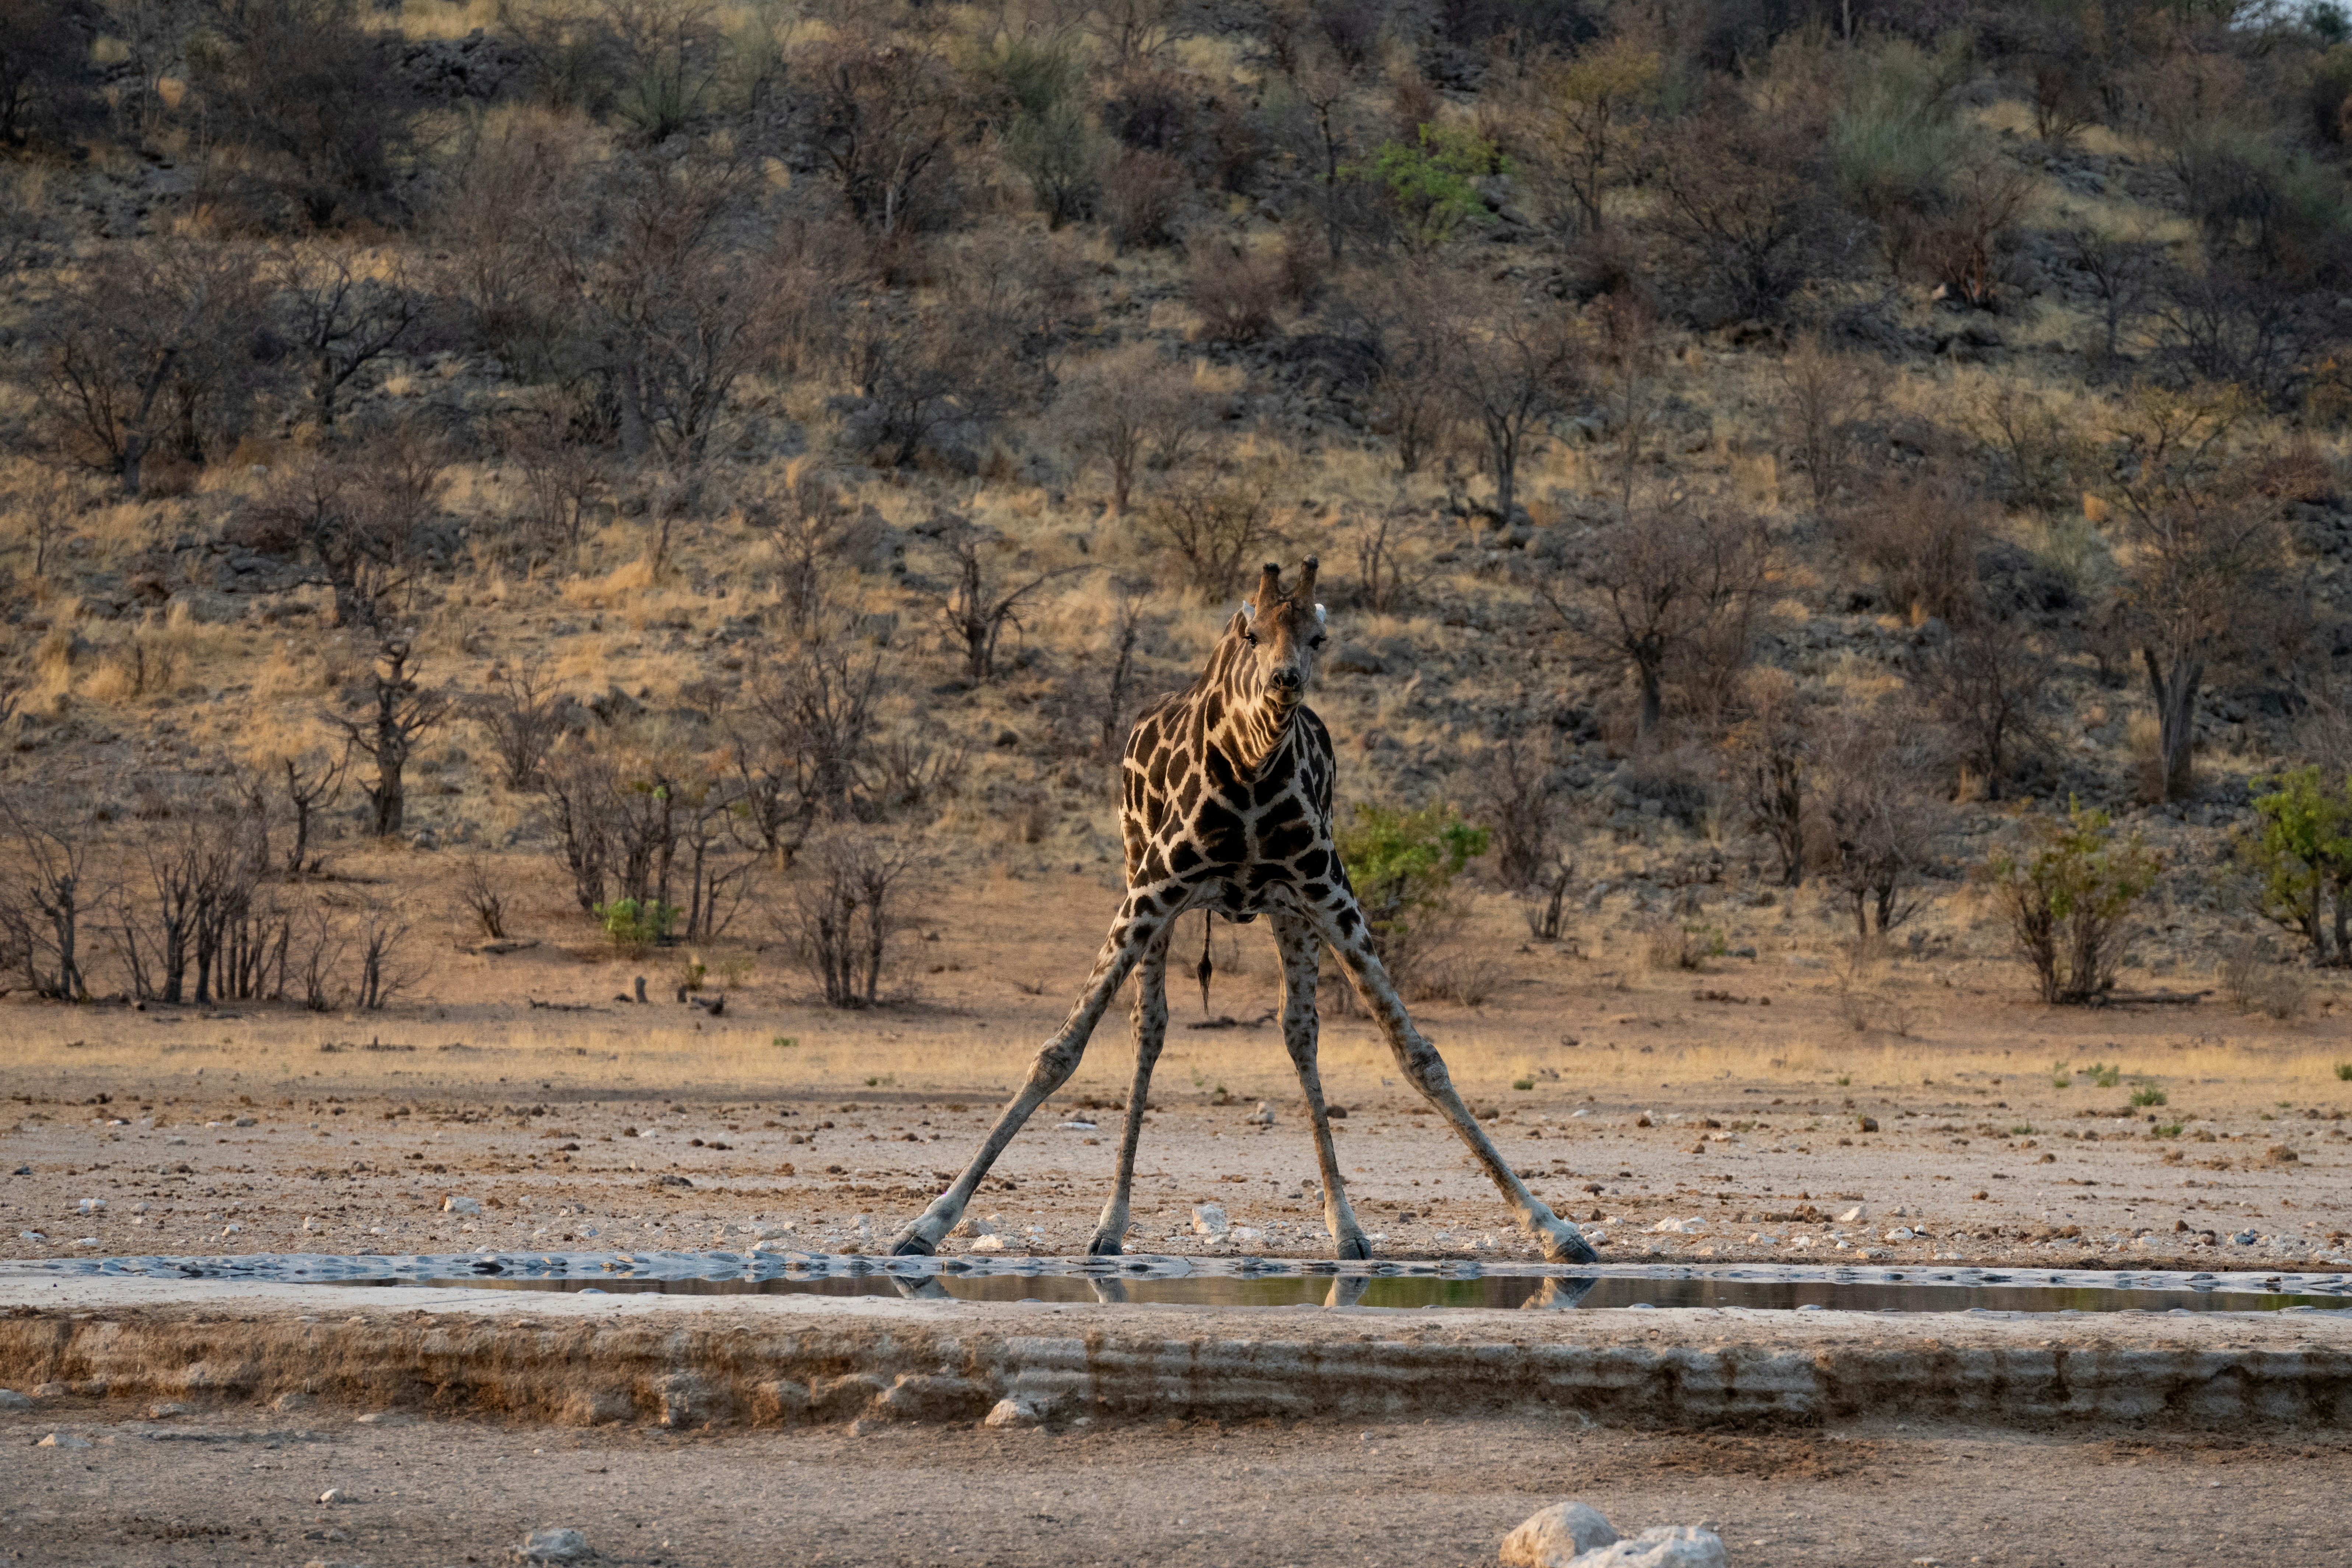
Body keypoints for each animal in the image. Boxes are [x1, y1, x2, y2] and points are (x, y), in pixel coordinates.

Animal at [890, 558, 1597, 1266]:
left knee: (1299, 1030)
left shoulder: (1329, 892)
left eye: (1318, 637)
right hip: (1141, 874)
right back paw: (1111, 1223)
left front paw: (1553, 1227)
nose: (1286, 680)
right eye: (1254, 635)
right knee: (1149, 1028)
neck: (1253, 770)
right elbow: (1059, 1051)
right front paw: (929, 1221)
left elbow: (1417, 1053)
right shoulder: (1151, 891)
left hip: (1291, 914)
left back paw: (1345, 1225)